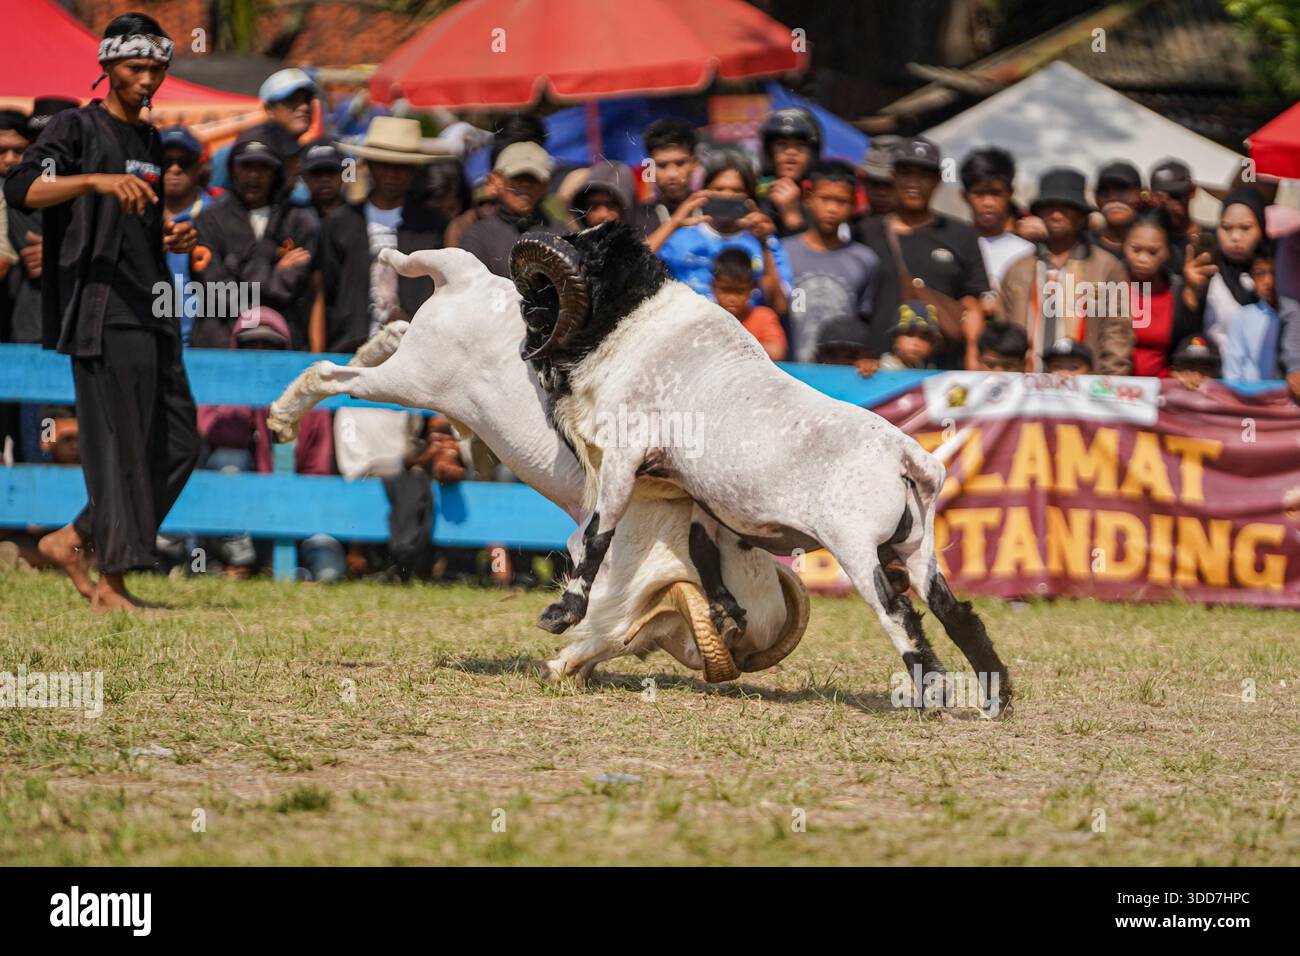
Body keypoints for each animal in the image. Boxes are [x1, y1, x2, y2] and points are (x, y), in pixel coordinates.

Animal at [266, 245, 807, 686]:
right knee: (335, 375)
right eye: (723, 634)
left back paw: (362, 352)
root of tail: (466, 278)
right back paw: (283, 417)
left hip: (416, 366)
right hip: (410, 382)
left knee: (392, 334)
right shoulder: (615, 556)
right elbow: (606, 619)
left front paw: (563, 667)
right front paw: (563, 658)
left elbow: (609, 630)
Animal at [508, 222, 1013, 717]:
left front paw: (560, 614)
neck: (637, 325)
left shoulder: (624, 454)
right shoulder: (696, 486)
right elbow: (700, 543)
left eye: (547, 289)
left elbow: (598, 535)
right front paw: (727, 614)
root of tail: (907, 455)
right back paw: (997, 699)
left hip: (856, 545)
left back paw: (932, 699)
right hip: (915, 545)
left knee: (899, 614)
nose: (527, 337)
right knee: (957, 612)